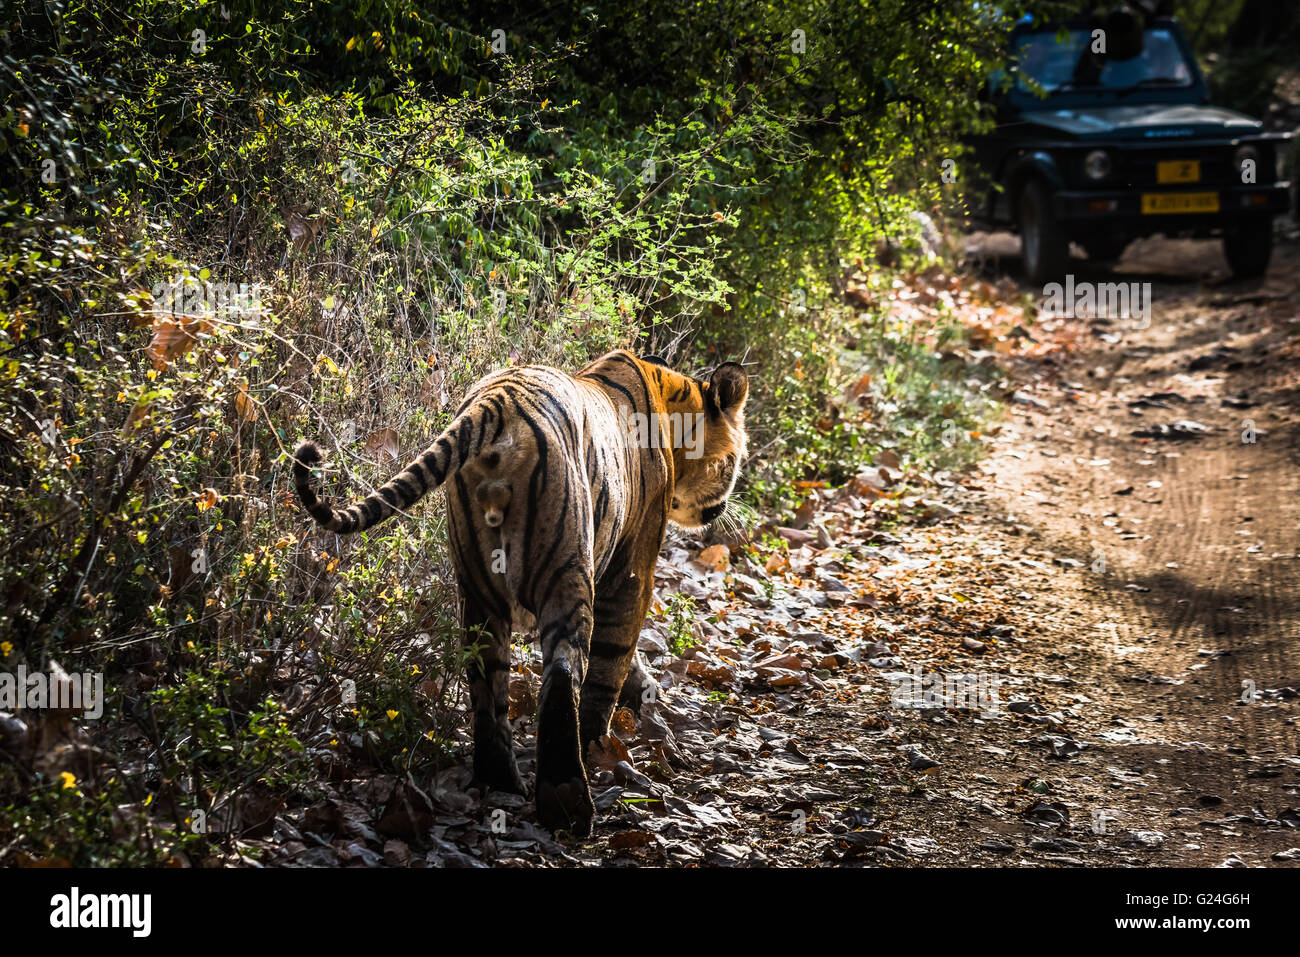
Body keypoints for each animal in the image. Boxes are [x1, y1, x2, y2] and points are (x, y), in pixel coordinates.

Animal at [293, 349, 748, 835]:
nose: (724, 505)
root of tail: (494, 404)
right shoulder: (632, 568)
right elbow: (614, 657)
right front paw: (602, 742)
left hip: (478, 591)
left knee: (486, 682)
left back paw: (501, 778)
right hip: (568, 571)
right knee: (563, 676)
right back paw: (568, 801)